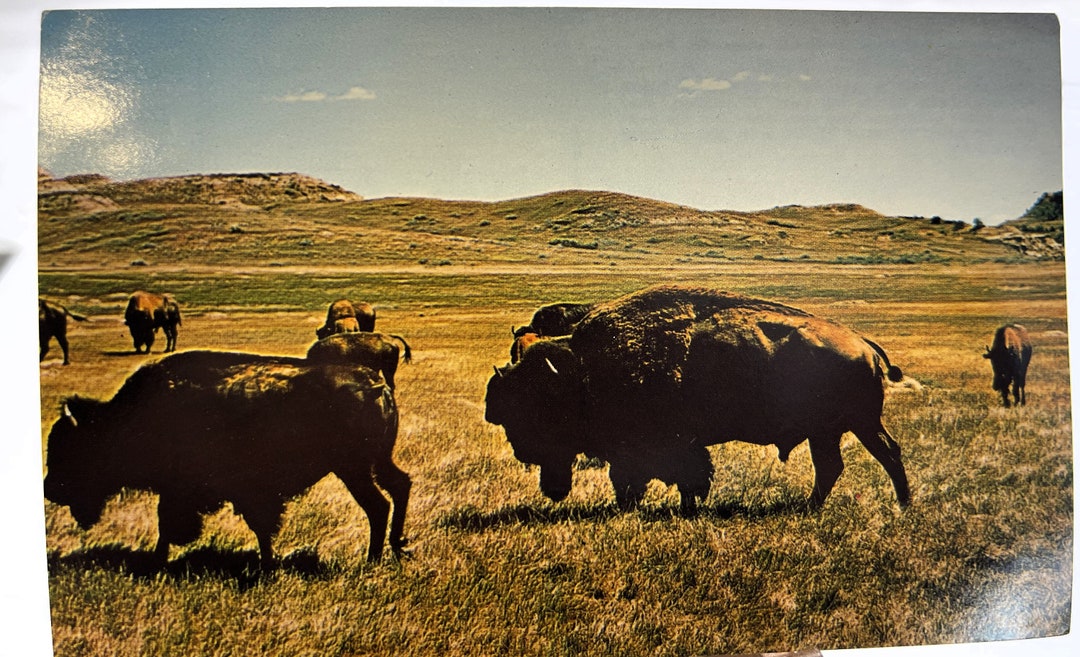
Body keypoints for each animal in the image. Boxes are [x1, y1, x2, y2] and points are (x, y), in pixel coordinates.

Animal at [44, 350, 411, 569]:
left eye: (71, 449)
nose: (50, 489)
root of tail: (376, 382)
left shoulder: (186, 490)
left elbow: (170, 524)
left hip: (354, 469)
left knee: (378, 505)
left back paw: (372, 558)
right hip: (375, 462)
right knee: (399, 487)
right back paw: (395, 548)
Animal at [486, 285, 910, 513]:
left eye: (537, 406)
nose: (523, 453)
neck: (582, 371)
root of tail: (862, 343)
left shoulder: (658, 446)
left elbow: (663, 476)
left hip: (858, 423)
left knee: (886, 454)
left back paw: (901, 505)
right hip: (829, 431)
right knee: (833, 466)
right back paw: (812, 506)